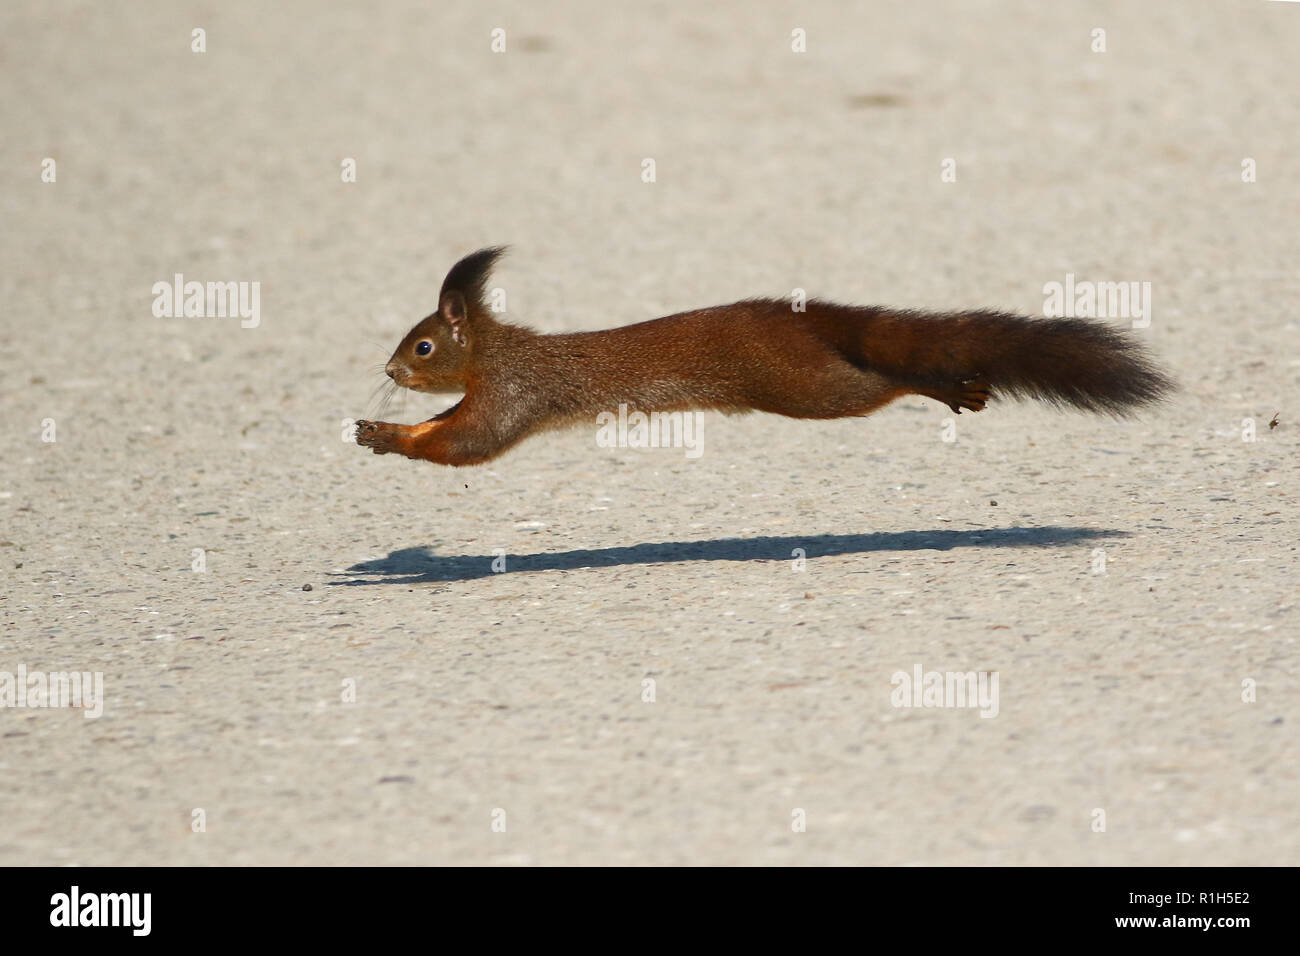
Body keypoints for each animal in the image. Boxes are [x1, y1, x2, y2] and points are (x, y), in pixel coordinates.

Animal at [355, 247, 1174, 466]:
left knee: (878, 382)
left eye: (422, 344)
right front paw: (382, 431)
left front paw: (389, 435)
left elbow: (470, 442)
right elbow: (452, 432)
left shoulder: (513, 392)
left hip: (801, 383)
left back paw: (946, 387)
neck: (492, 352)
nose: (390, 373)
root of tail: (799, 318)